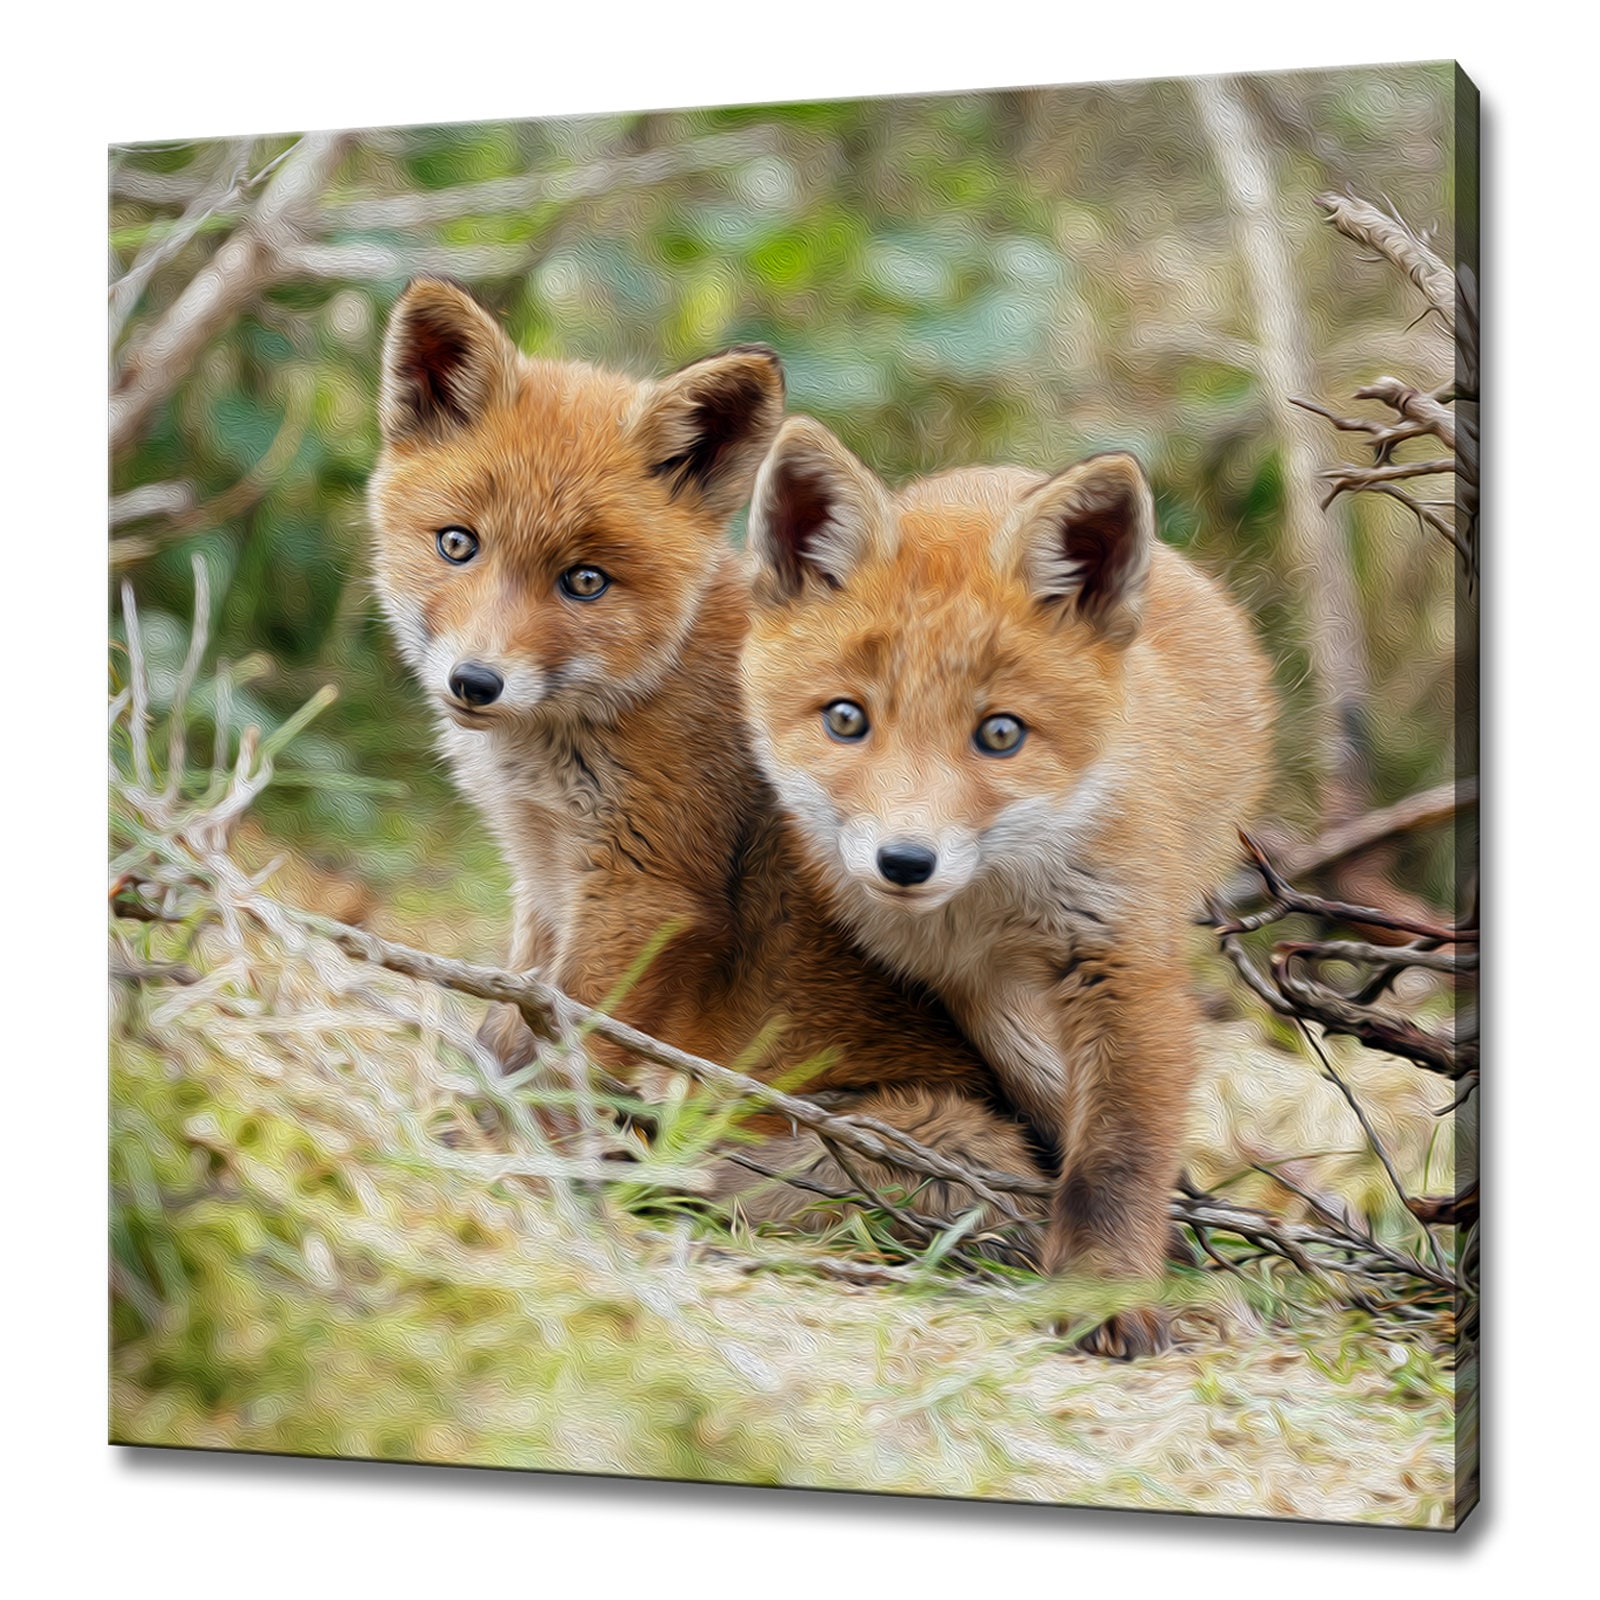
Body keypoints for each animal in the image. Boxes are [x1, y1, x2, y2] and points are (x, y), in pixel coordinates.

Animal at [366, 279, 1050, 1232]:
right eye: (456, 544)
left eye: (585, 581)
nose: (476, 682)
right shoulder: (544, 886)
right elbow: (508, 1025)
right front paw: (470, 1121)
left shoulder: (649, 893)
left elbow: (569, 1052)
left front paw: (523, 1163)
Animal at [739, 416, 1275, 1356]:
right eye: (846, 719)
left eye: (1000, 735)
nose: (904, 862)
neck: (992, 904)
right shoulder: (962, 982)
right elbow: (1058, 1114)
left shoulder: (1121, 960)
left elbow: (1117, 1154)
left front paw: (1105, 1289)